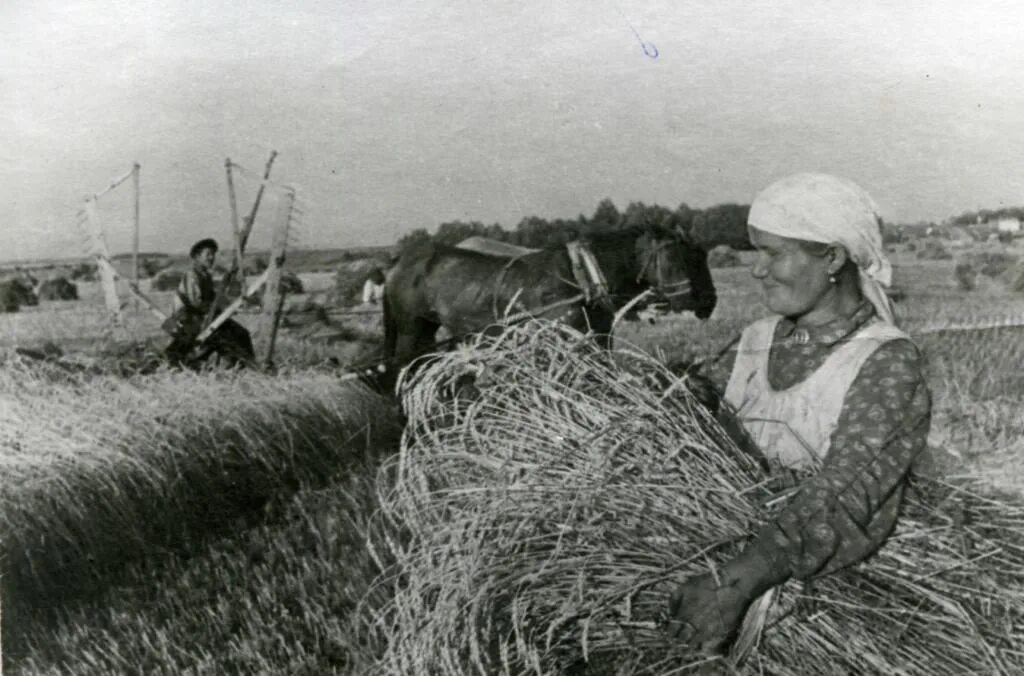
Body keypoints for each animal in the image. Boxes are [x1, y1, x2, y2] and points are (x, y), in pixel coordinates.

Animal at [380, 227, 716, 383]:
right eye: (679, 257)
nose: (709, 301)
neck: (582, 277)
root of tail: (398, 261)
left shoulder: (598, 340)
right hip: (411, 330)